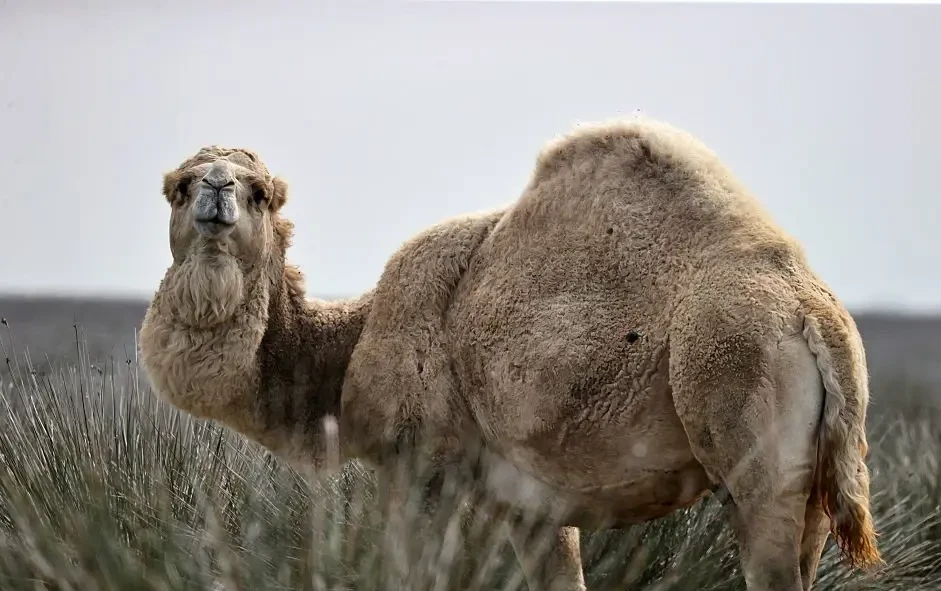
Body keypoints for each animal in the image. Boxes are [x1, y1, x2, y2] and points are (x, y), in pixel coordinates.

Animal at [139, 117, 882, 591]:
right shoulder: (535, 503)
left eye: (259, 190)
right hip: (816, 476)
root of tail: (813, 313)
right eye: (179, 184)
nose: (217, 190)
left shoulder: (419, 463)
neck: (349, 346)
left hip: (747, 417)